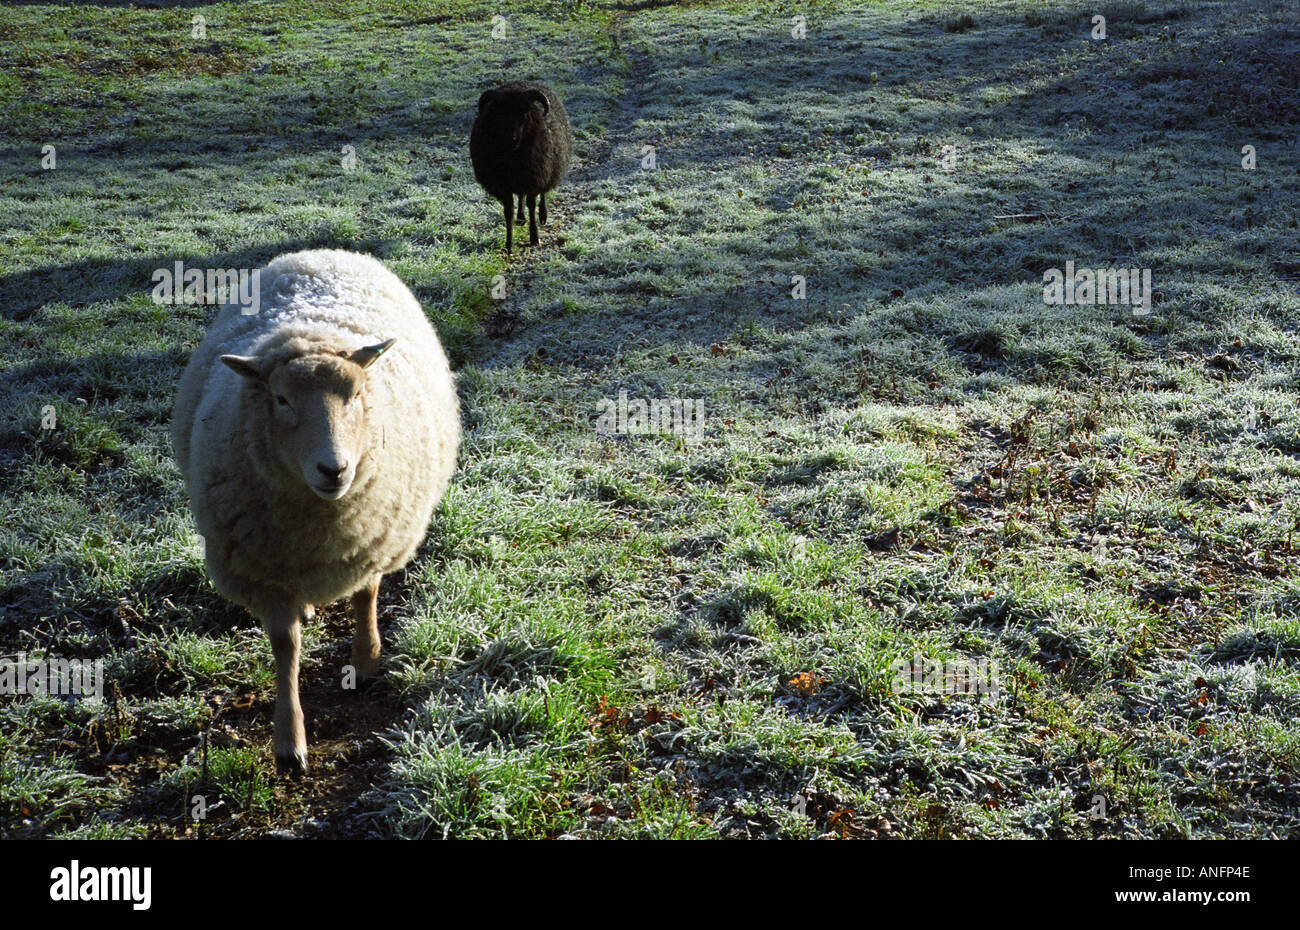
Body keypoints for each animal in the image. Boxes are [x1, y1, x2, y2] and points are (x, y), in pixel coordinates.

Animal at [170, 249, 461, 774]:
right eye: (281, 399)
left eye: (356, 395)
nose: (334, 469)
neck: (321, 524)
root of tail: (324, 253)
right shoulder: (266, 571)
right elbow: (285, 646)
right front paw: (290, 742)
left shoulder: (373, 537)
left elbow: (366, 596)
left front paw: (366, 660)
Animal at [469, 80, 572, 253]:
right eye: (500, 116)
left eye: (523, 115)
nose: (512, 140)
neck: (512, 159)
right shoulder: (503, 185)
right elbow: (508, 211)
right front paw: (509, 245)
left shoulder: (534, 178)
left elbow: (531, 205)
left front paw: (534, 237)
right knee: (521, 196)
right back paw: (520, 218)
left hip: (546, 170)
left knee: (542, 194)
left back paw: (542, 215)